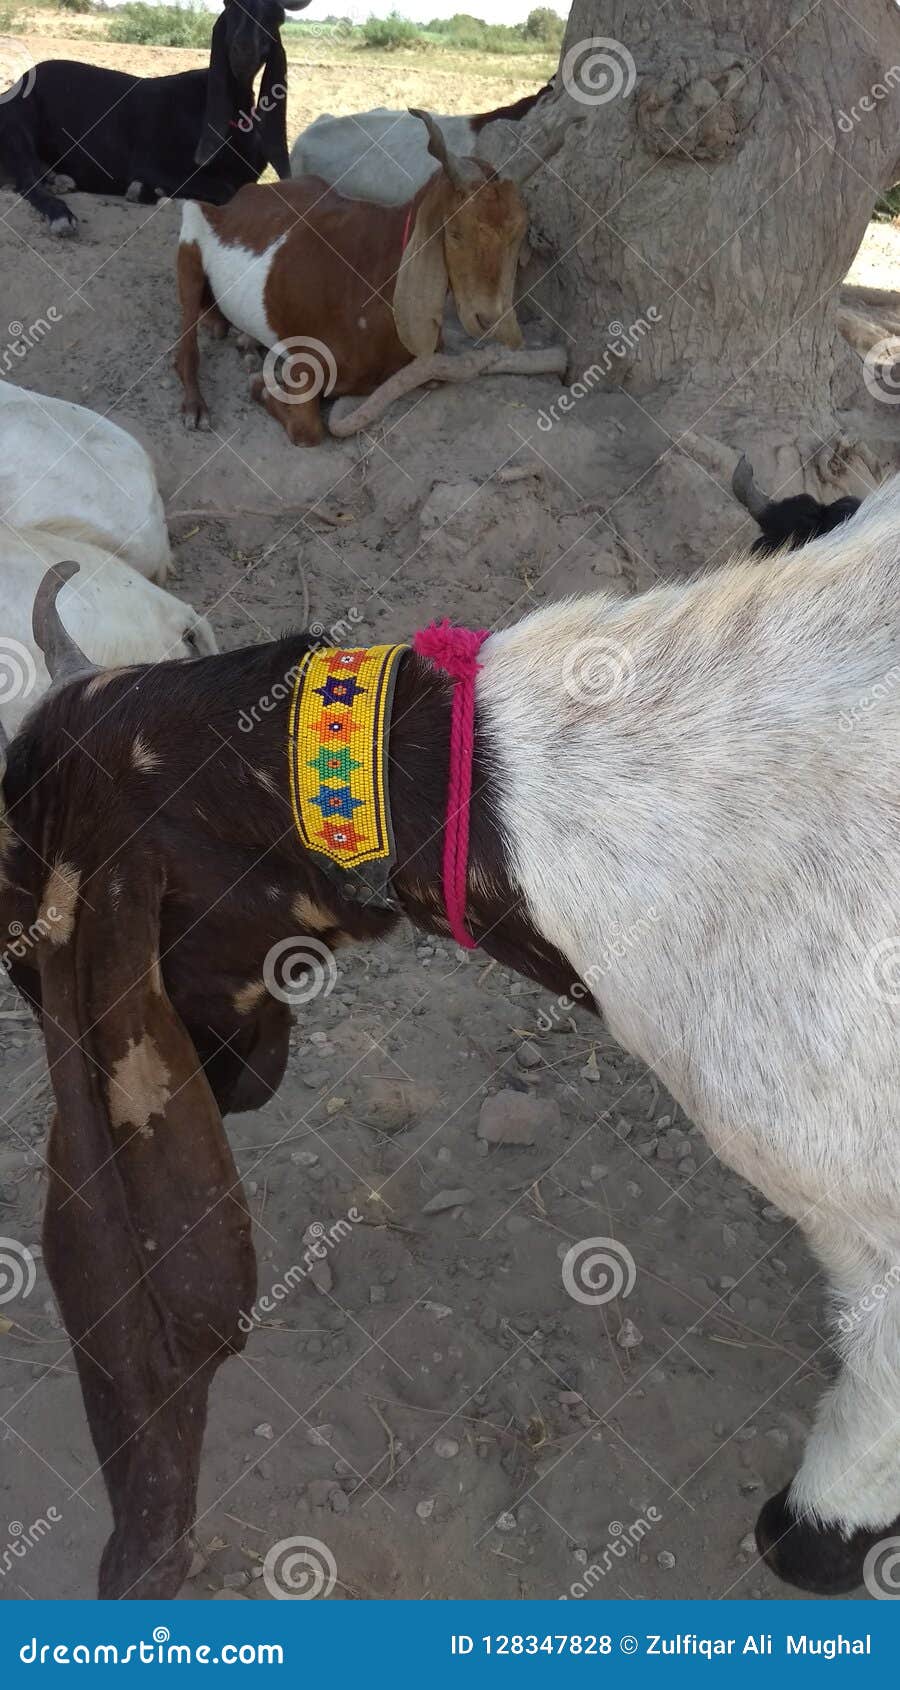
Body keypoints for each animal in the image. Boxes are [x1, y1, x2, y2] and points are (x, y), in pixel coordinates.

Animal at [0, 0, 308, 235]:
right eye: (230, 7)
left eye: (276, 16)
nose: (244, 51)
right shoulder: (149, 163)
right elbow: (227, 188)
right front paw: (143, 191)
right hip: (18, 124)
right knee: (27, 181)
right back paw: (60, 215)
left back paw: (59, 180)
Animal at [175, 107, 561, 445]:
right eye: (454, 233)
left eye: (517, 234)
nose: (489, 320)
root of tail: (248, 194)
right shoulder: (310, 360)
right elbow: (307, 429)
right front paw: (259, 383)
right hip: (191, 230)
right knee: (186, 346)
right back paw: (197, 406)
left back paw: (242, 339)